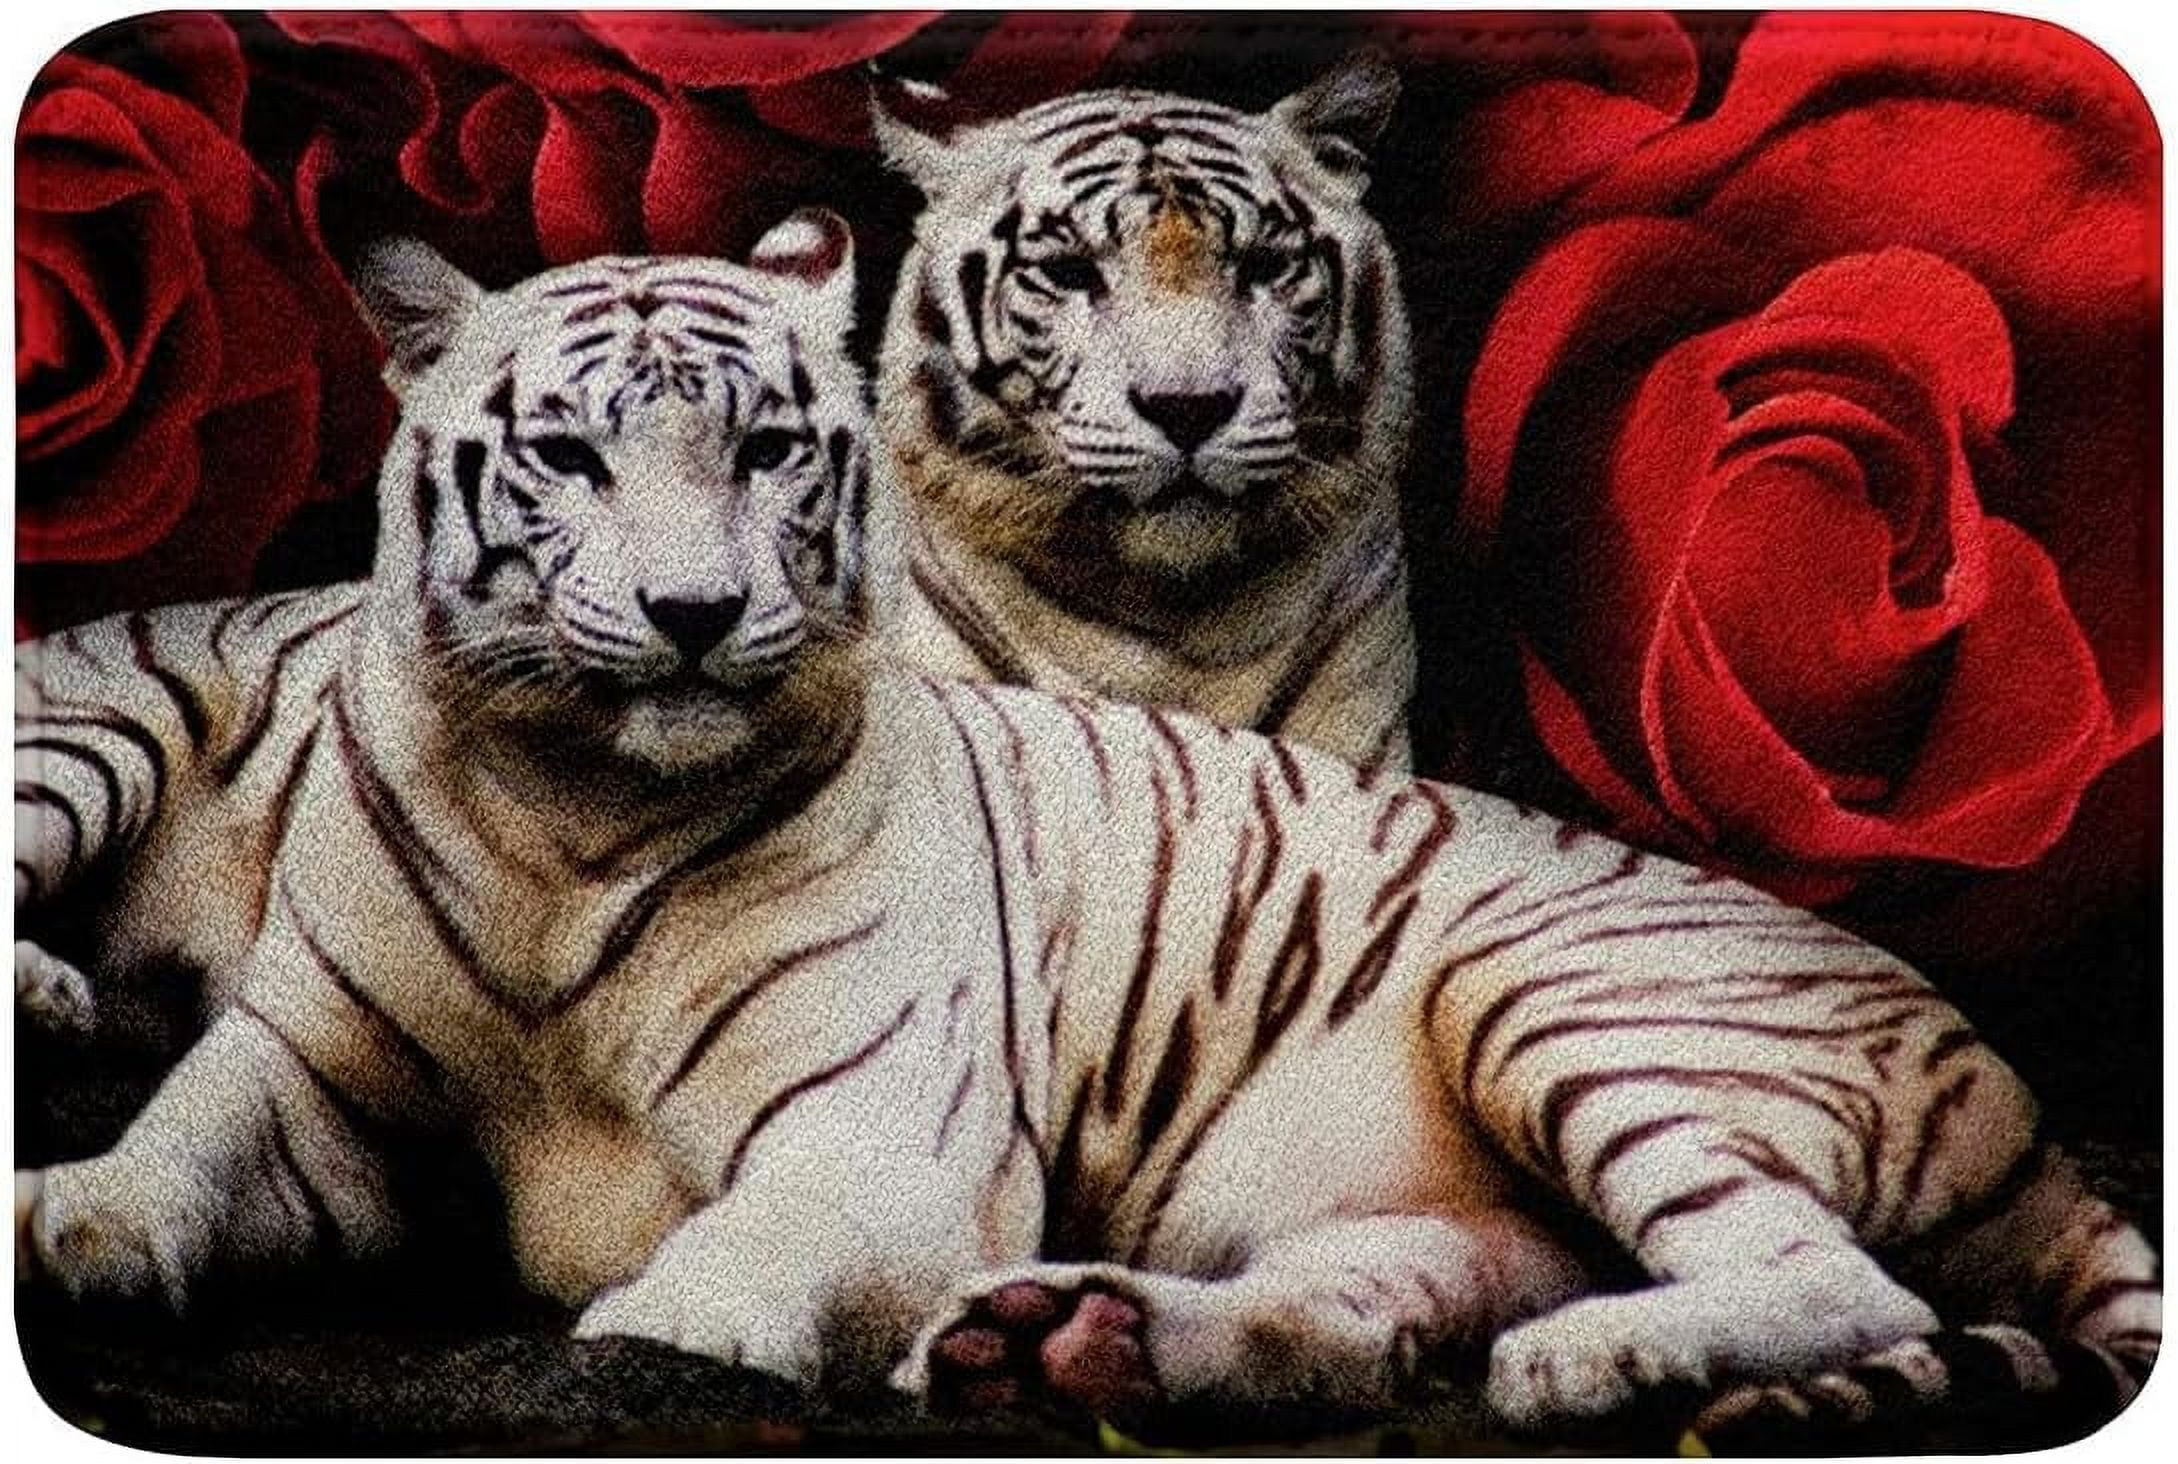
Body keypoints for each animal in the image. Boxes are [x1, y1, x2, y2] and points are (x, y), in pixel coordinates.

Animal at [15, 232, 2157, 1450]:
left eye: (770, 449)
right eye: (567, 454)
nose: (700, 615)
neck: (577, 809)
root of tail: (1998, 1070)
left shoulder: (883, 1134)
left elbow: (750, 1231)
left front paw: (672, 1317)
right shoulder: (312, 1063)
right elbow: (190, 1128)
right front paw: (79, 1216)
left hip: (1568, 1010)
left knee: (1836, 1276)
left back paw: (1586, 1366)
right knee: (1365, 1315)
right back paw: (1084, 1345)